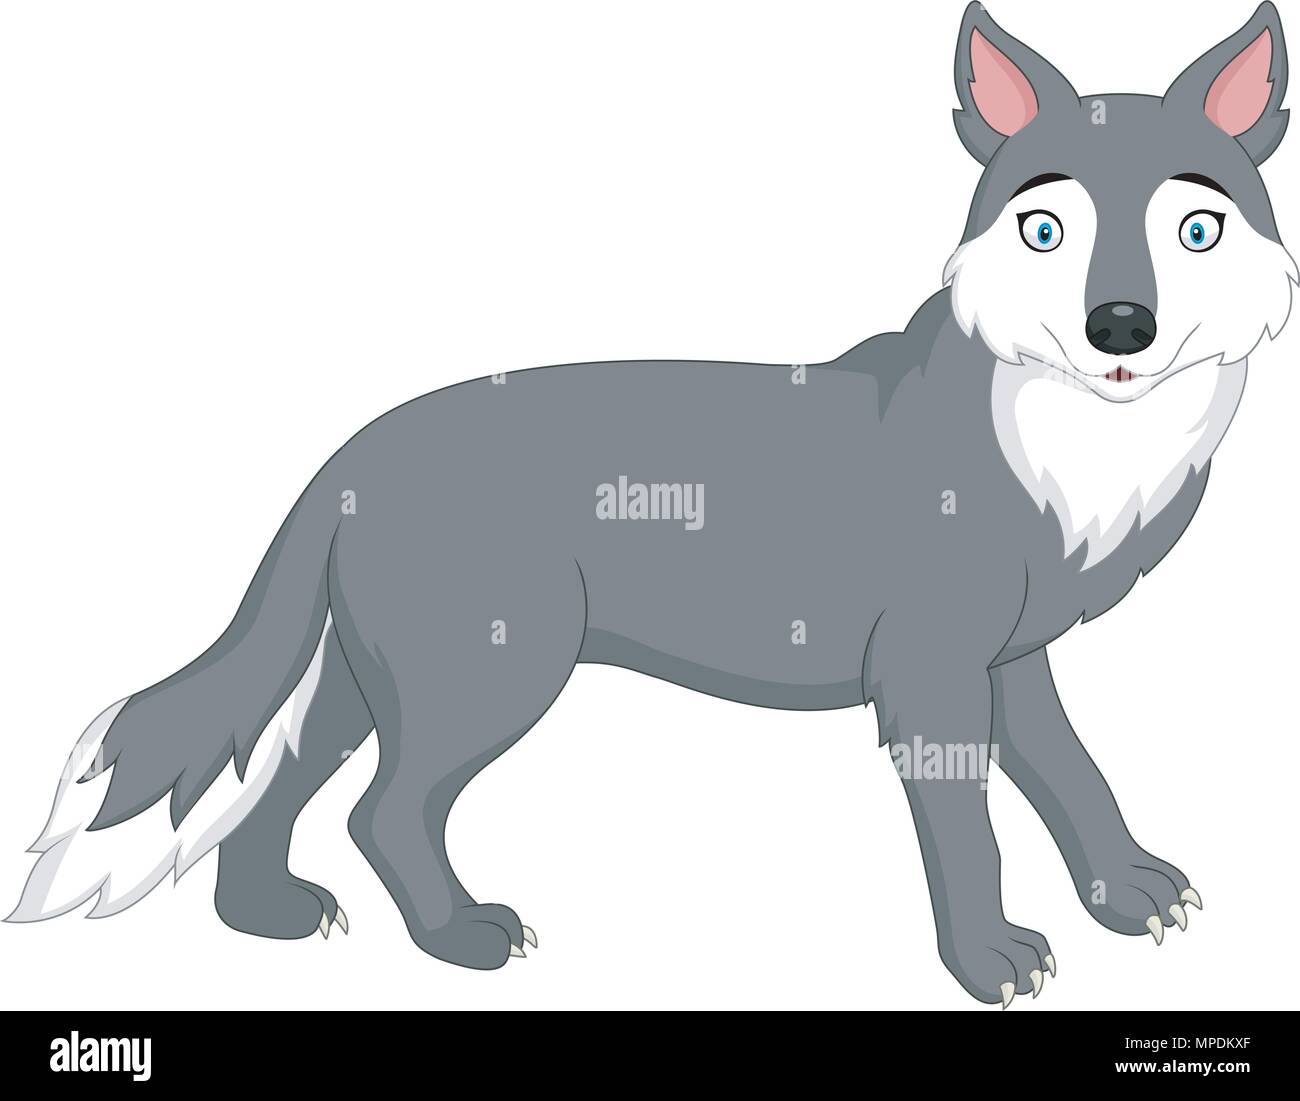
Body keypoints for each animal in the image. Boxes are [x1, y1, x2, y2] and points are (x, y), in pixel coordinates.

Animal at [10, 3, 1295, 1006]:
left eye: (1196, 229)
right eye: (1044, 230)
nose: (1118, 326)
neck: (1066, 460)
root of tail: (343, 460)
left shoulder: (1009, 662)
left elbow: (1078, 777)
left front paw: (1127, 893)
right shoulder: (930, 674)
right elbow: (968, 832)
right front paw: (988, 961)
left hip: (364, 682)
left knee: (275, 782)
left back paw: (270, 917)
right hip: (490, 678)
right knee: (383, 813)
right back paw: (458, 938)